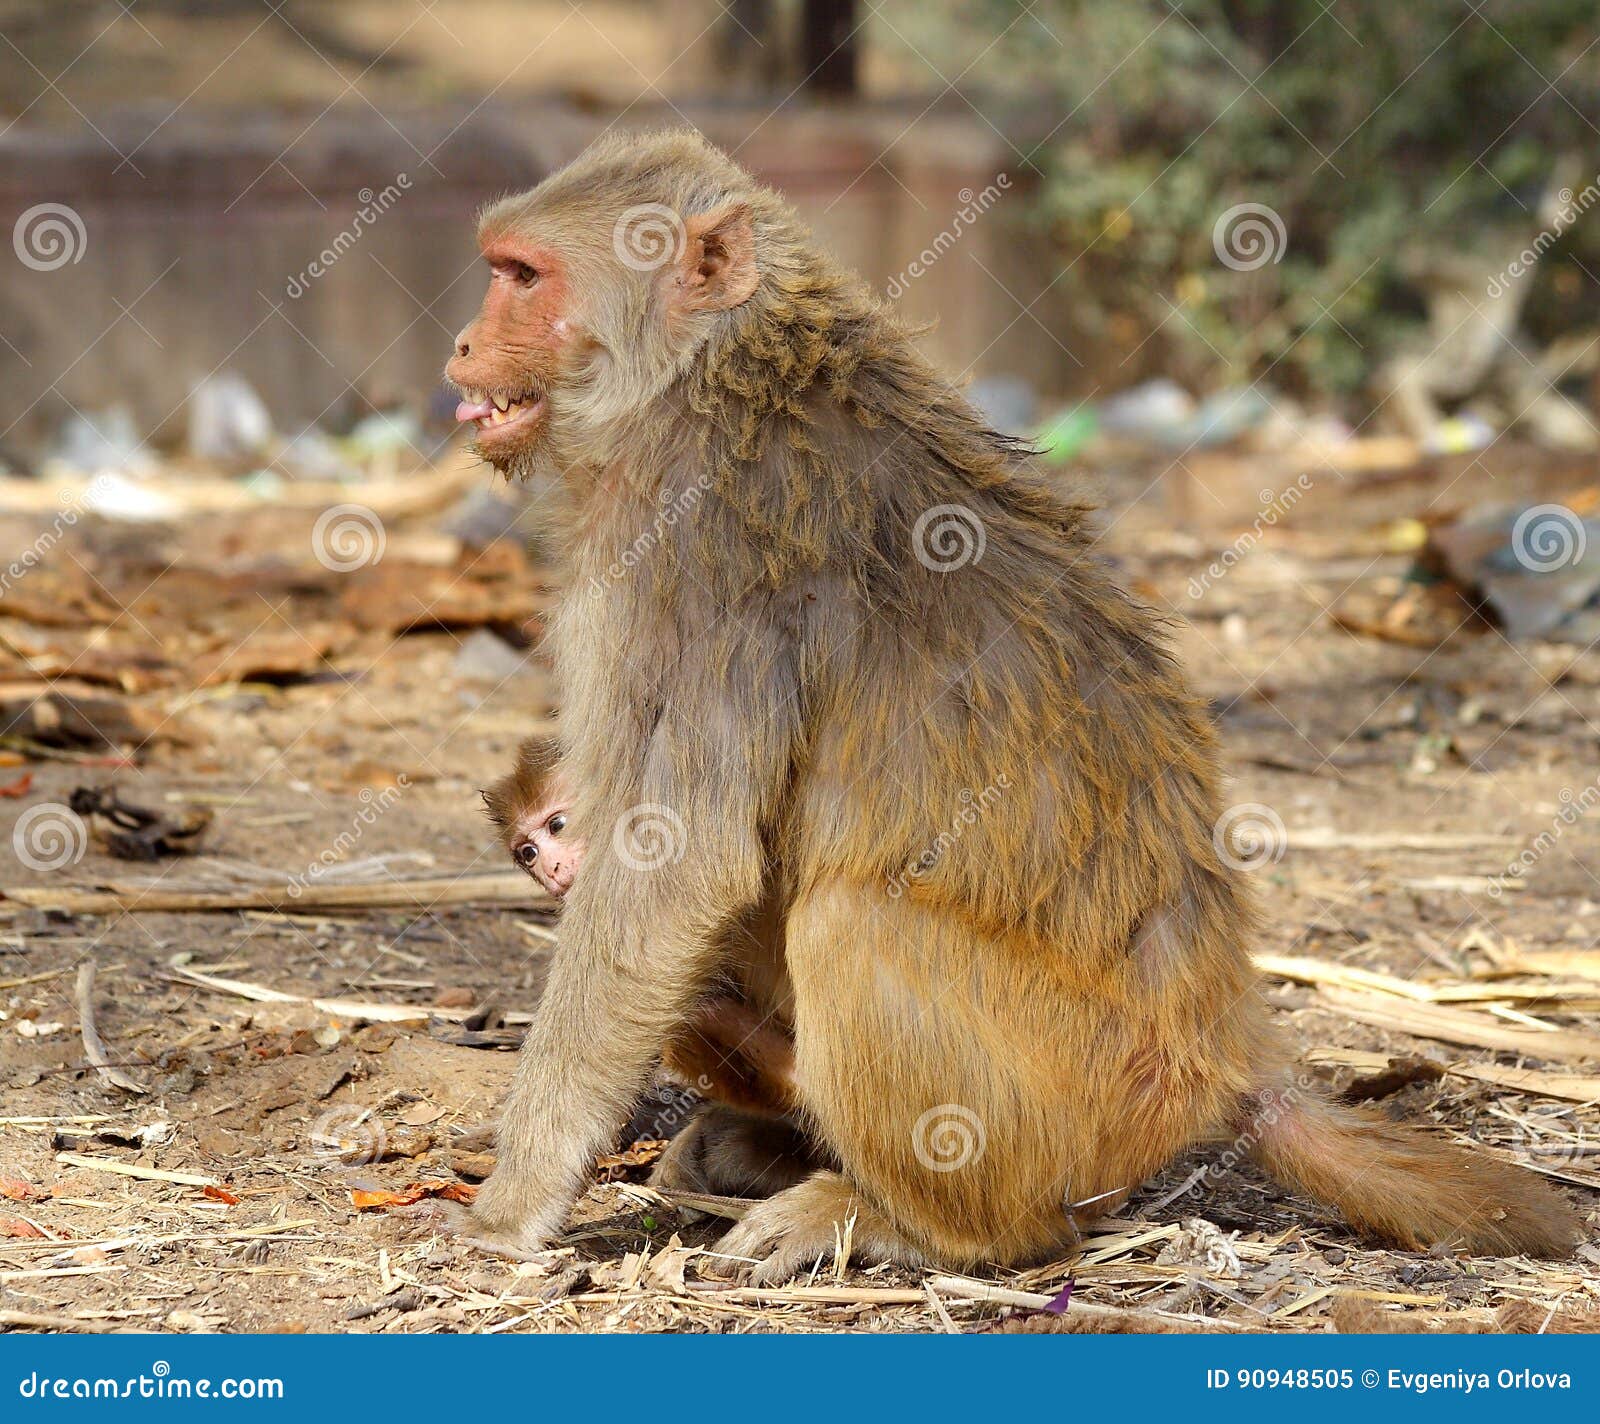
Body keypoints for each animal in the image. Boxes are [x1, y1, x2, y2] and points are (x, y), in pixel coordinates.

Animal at [444, 129, 1578, 1281]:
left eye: (522, 277)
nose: (459, 342)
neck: (714, 376)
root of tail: (1219, 1057)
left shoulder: (689, 574)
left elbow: (677, 866)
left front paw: (514, 1202)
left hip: (1077, 1101)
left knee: (848, 923)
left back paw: (910, 1222)